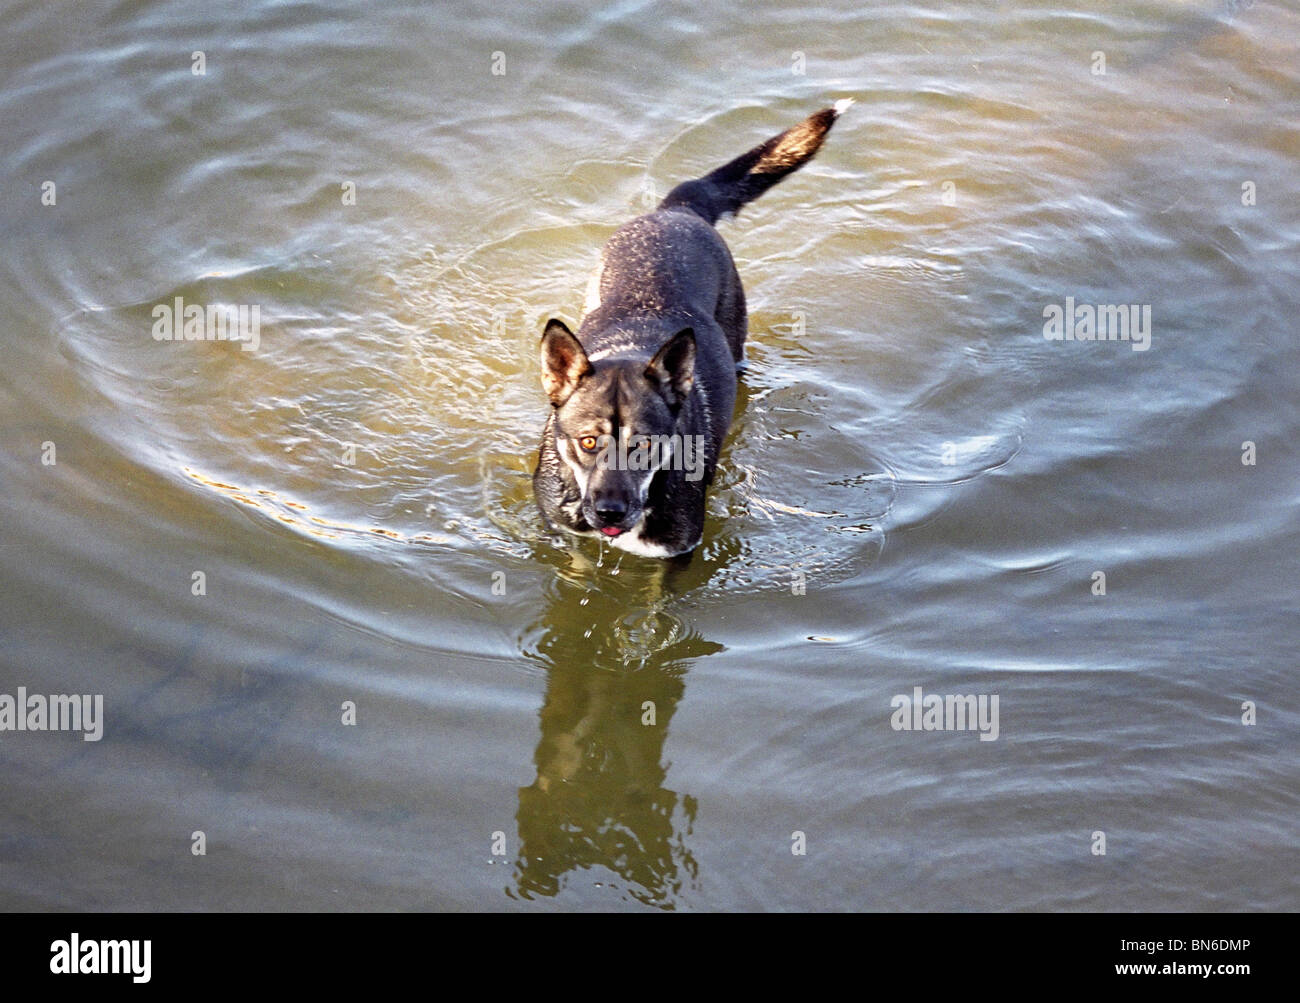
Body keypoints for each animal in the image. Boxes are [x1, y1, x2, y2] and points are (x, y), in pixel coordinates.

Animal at [533, 101, 847, 556]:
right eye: (588, 441)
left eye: (645, 444)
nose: (610, 512)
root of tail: (678, 210)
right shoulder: (564, 537)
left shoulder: (678, 555)